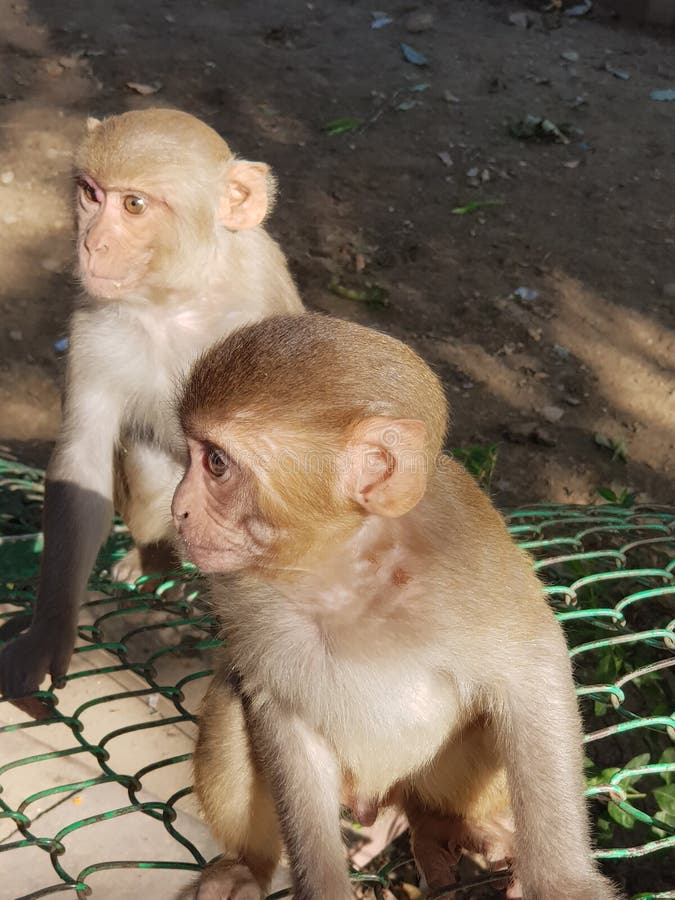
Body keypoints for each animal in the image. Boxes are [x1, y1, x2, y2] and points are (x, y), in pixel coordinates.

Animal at [0, 109, 303, 702]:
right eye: (90, 194)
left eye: (135, 205)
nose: (92, 244)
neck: (177, 300)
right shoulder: (94, 325)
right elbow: (83, 465)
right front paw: (47, 631)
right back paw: (157, 558)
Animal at [171, 312, 622, 900]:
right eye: (194, 454)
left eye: (217, 463)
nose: (178, 509)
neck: (344, 569)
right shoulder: (245, 601)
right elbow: (277, 711)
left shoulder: (472, 556)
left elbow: (532, 673)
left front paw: (562, 880)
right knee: (231, 700)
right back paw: (250, 863)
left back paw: (440, 822)